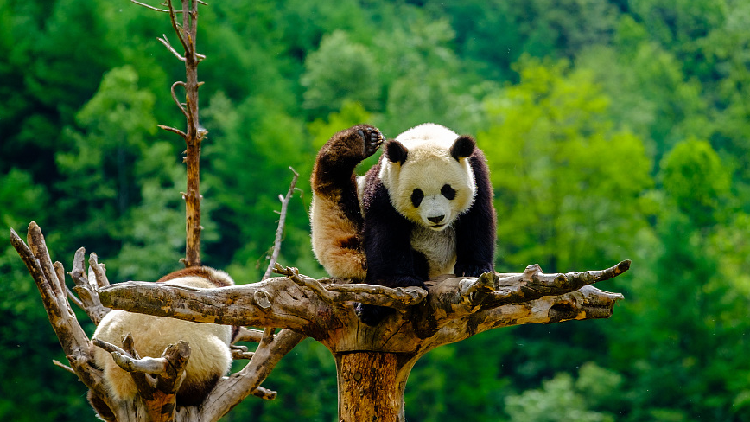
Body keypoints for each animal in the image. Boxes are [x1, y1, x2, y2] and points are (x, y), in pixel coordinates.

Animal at [310, 123, 496, 324]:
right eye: (417, 195)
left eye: (448, 191)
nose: (436, 218)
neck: (425, 137)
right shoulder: (384, 185)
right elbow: (386, 234)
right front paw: (402, 280)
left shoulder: (476, 172)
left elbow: (477, 218)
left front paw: (473, 267)